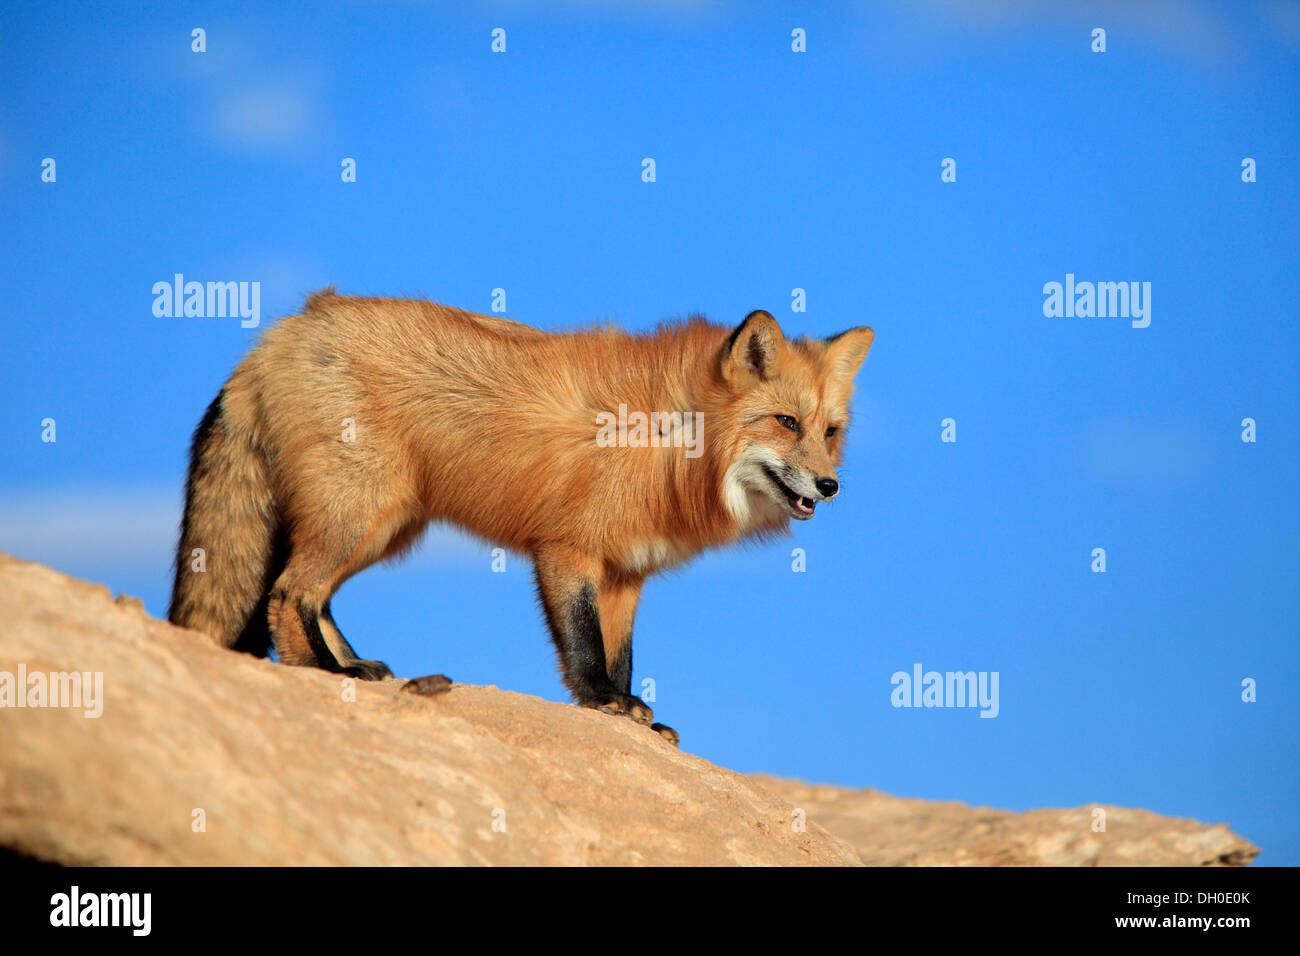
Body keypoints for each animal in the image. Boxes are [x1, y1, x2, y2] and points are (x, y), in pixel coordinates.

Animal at [168, 290, 874, 744]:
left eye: (829, 432)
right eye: (786, 423)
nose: (830, 486)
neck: (670, 442)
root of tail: (276, 334)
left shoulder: (626, 571)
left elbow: (622, 653)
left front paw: (630, 709)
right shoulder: (566, 550)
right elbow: (585, 646)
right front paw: (604, 703)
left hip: (385, 527)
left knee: (316, 600)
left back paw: (358, 669)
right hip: (356, 515)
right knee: (288, 595)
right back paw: (326, 674)